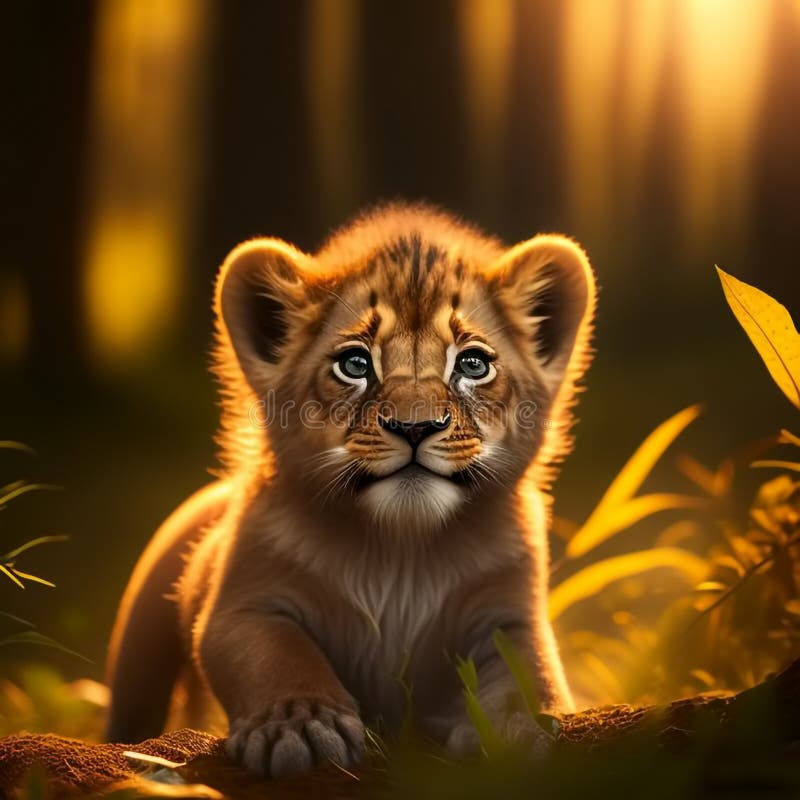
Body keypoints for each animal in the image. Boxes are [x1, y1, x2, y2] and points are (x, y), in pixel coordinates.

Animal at [106, 204, 596, 776]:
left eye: (473, 363)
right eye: (355, 364)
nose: (414, 426)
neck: (401, 550)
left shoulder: (510, 613)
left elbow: (529, 675)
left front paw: (518, 732)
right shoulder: (246, 604)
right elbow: (278, 654)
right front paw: (300, 725)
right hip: (138, 645)